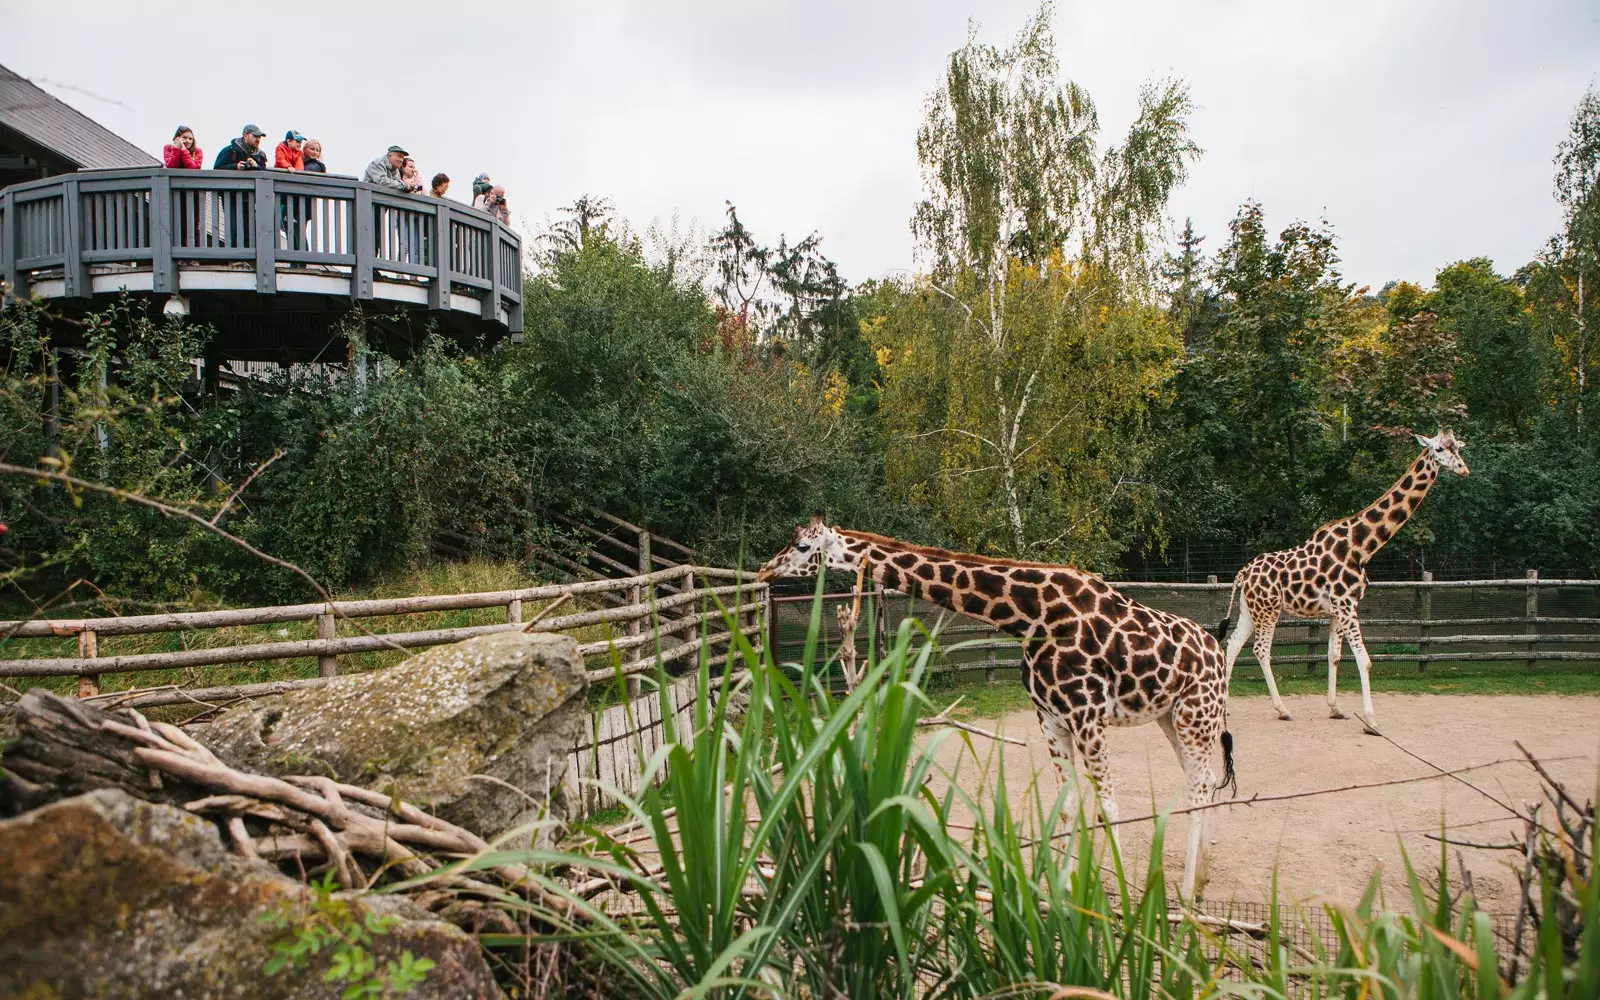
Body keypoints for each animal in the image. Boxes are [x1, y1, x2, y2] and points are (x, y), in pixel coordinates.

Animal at [761, 518, 1235, 902]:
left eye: (802, 546)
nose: (765, 569)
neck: (1030, 616)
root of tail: (1216, 651)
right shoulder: (1051, 718)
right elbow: (1067, 806)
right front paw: (1063, 893)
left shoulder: (1087, 715)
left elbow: (1108, 806)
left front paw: (1116, 900)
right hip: (1172, 717)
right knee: (1205, 779)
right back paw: (1203, 880)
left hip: (1197, 712)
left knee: (1197, 788)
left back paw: (1188, 895)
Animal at [1222, 425, 1472, 729]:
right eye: (1438, 449)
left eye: (1457, 448)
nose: (1463, 469)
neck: (1360, 546)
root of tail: (1243, 573)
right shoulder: (1347, 605)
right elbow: (1364, 659)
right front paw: (1371, 721)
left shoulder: (1336, 611)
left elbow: (1334, 655)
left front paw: (1336, 708)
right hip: (1268, 609)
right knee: (1260, 650)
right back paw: (1282, 709)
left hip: (1250, 609)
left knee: (1233, 645)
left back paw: (1225, 707)